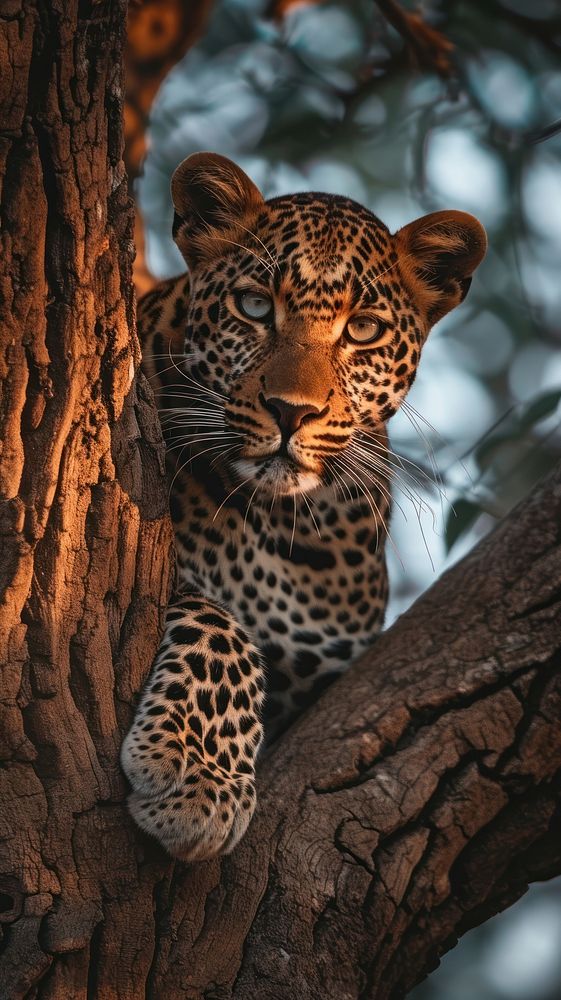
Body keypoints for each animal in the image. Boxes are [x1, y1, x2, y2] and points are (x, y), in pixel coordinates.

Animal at [121, 152, 487, 862]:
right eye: (254, 306)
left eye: (363, 330)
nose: (292, 412)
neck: (277, 518)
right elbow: (218, 620)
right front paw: (198, 779)